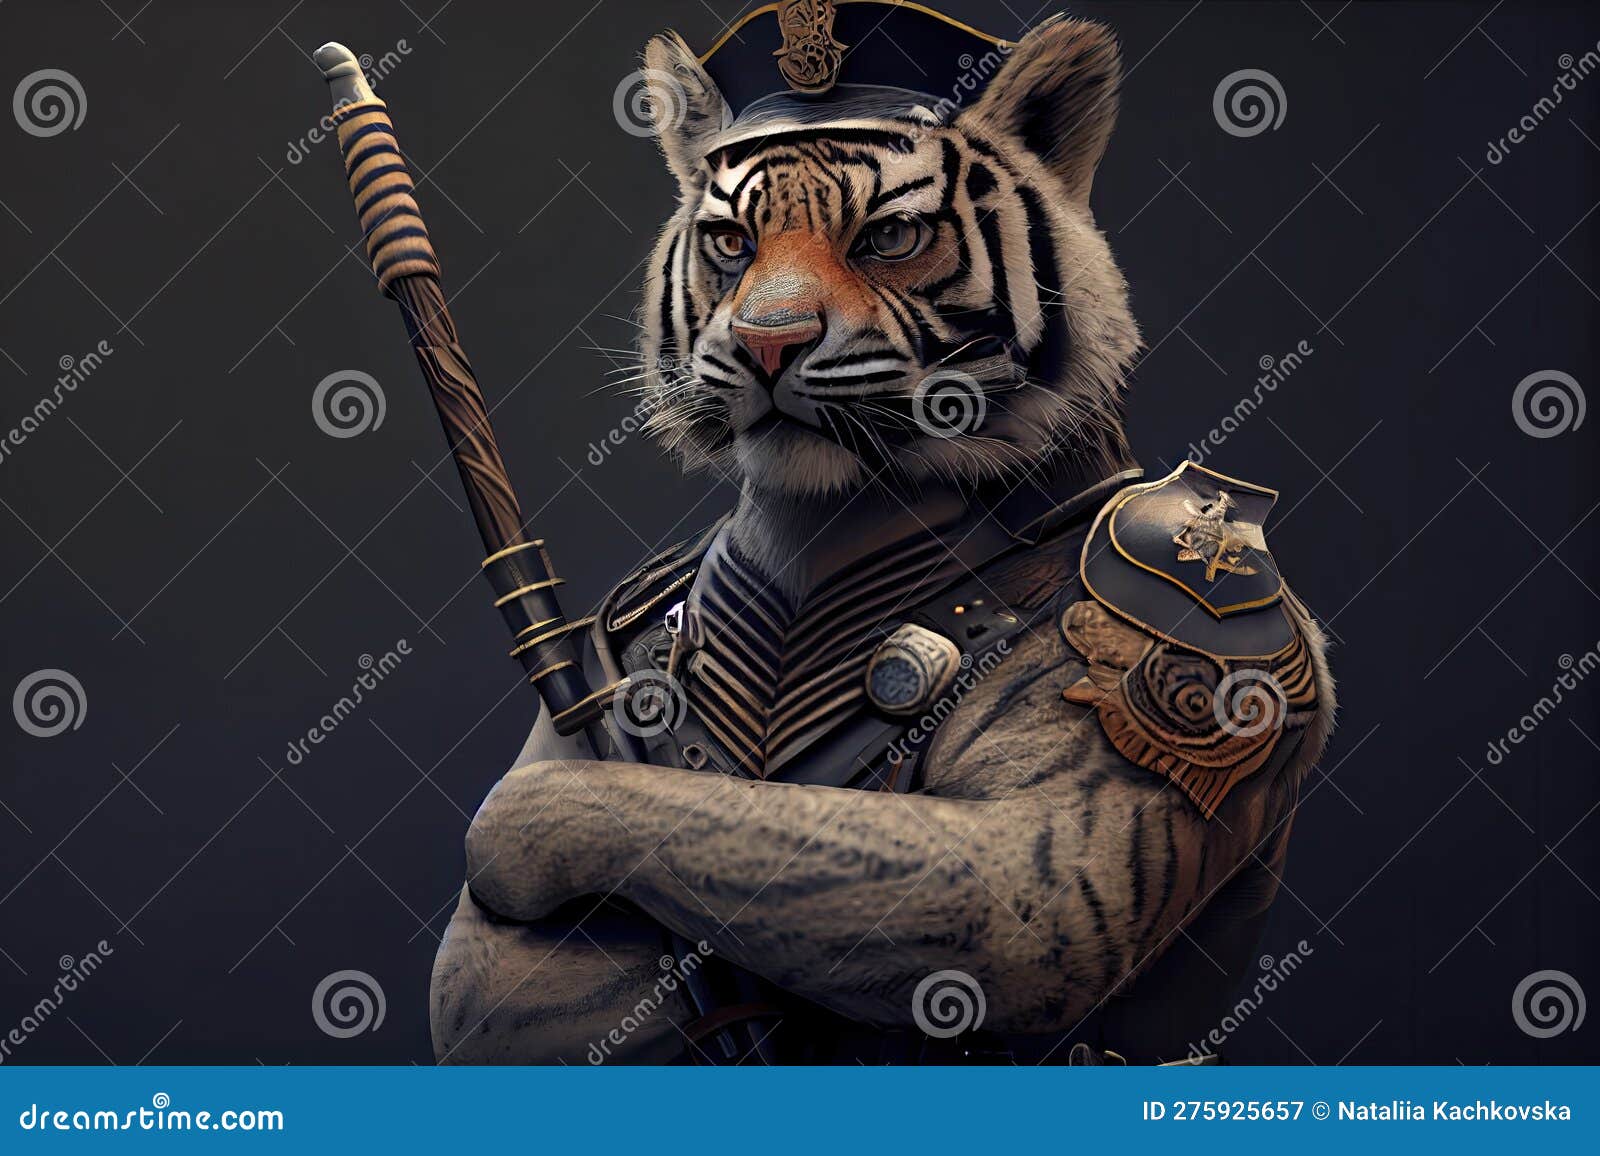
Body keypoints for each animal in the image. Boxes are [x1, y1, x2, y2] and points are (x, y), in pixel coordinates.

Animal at [428, 10, 1337, 1065]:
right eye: (731, 243)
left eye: (890, 237)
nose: (767, 342)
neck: (812, 525)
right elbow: (494, 983)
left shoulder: (1060, 840)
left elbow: (1005, 889)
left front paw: (520, 829)